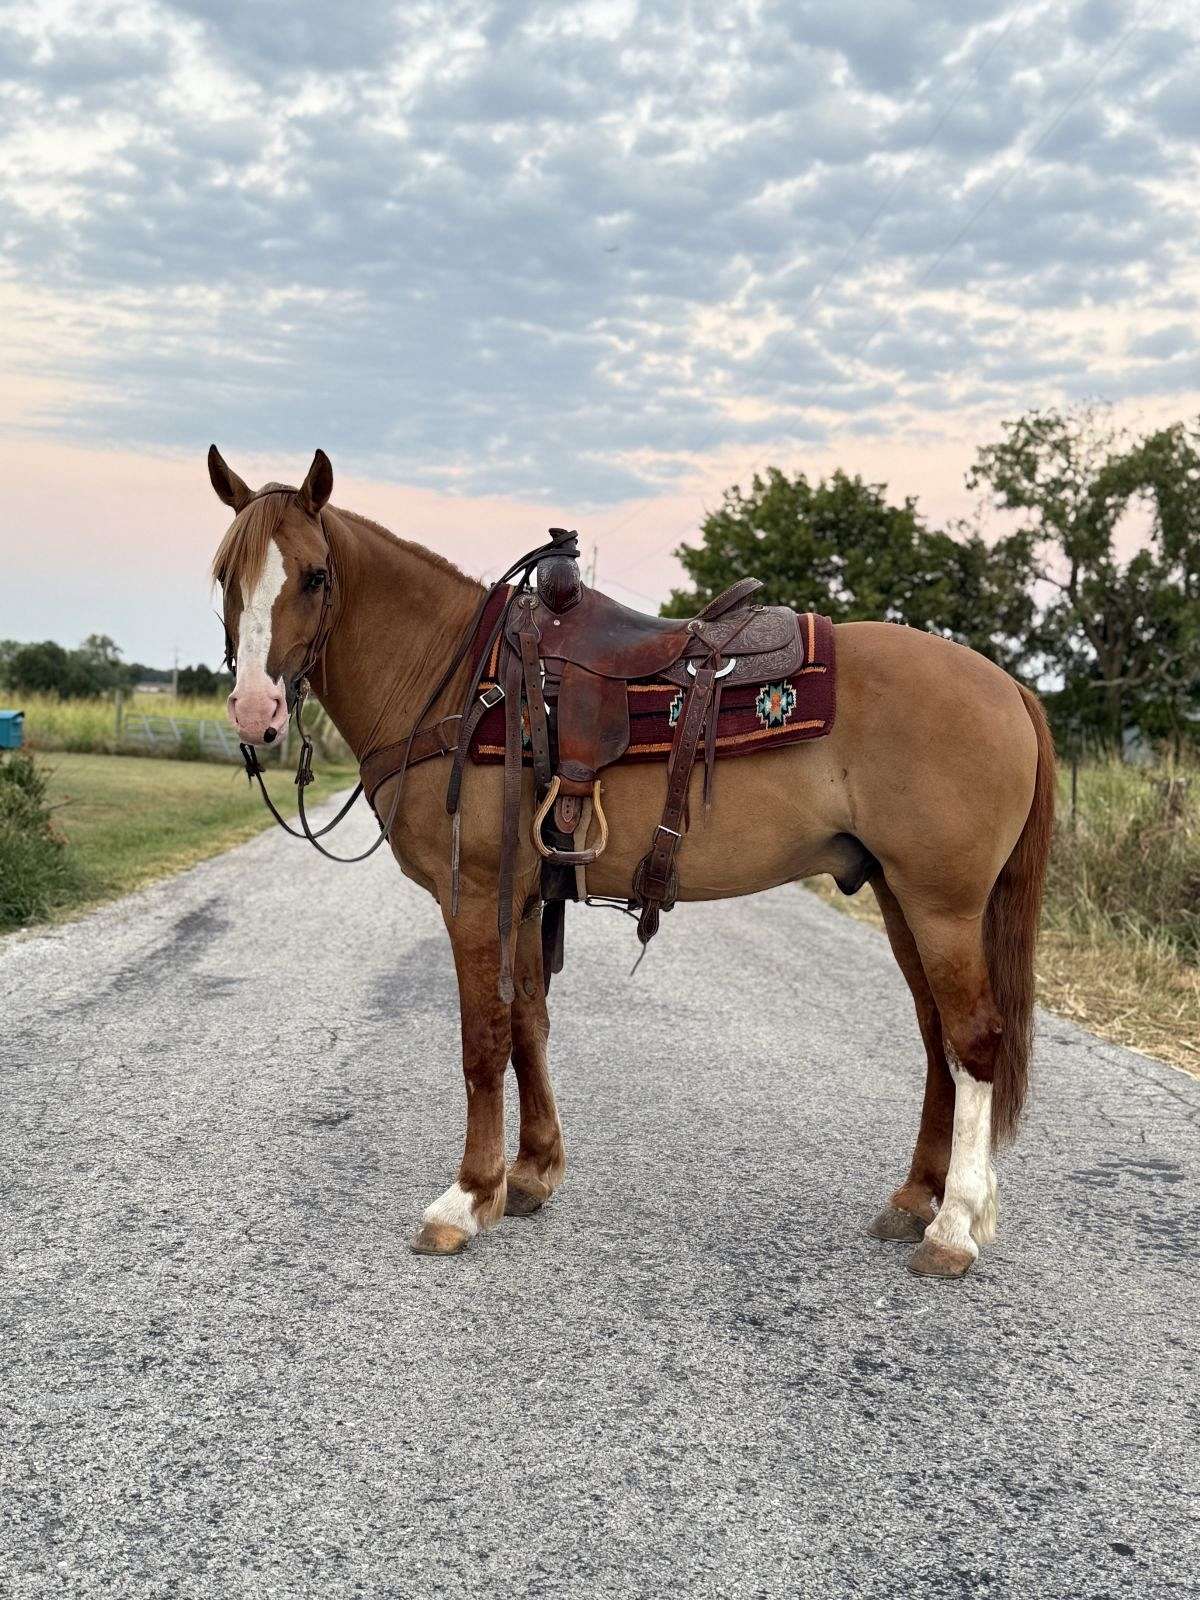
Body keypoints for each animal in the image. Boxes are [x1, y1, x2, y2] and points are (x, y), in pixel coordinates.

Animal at [208, 446, 1055, 1279]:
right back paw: (915, 1198)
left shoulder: (474, 896)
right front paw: (530, 1173)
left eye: (315, 575)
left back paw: (954, 1226)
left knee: (974, 1040)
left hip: (942, 905)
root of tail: (1009, 686)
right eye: (224, 576)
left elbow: (483, 1040)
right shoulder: (524, 897)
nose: (255, 711)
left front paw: (466, 1197)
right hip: (898, 896)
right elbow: (529, 1025)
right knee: (936, 1039)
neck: (462, 685)